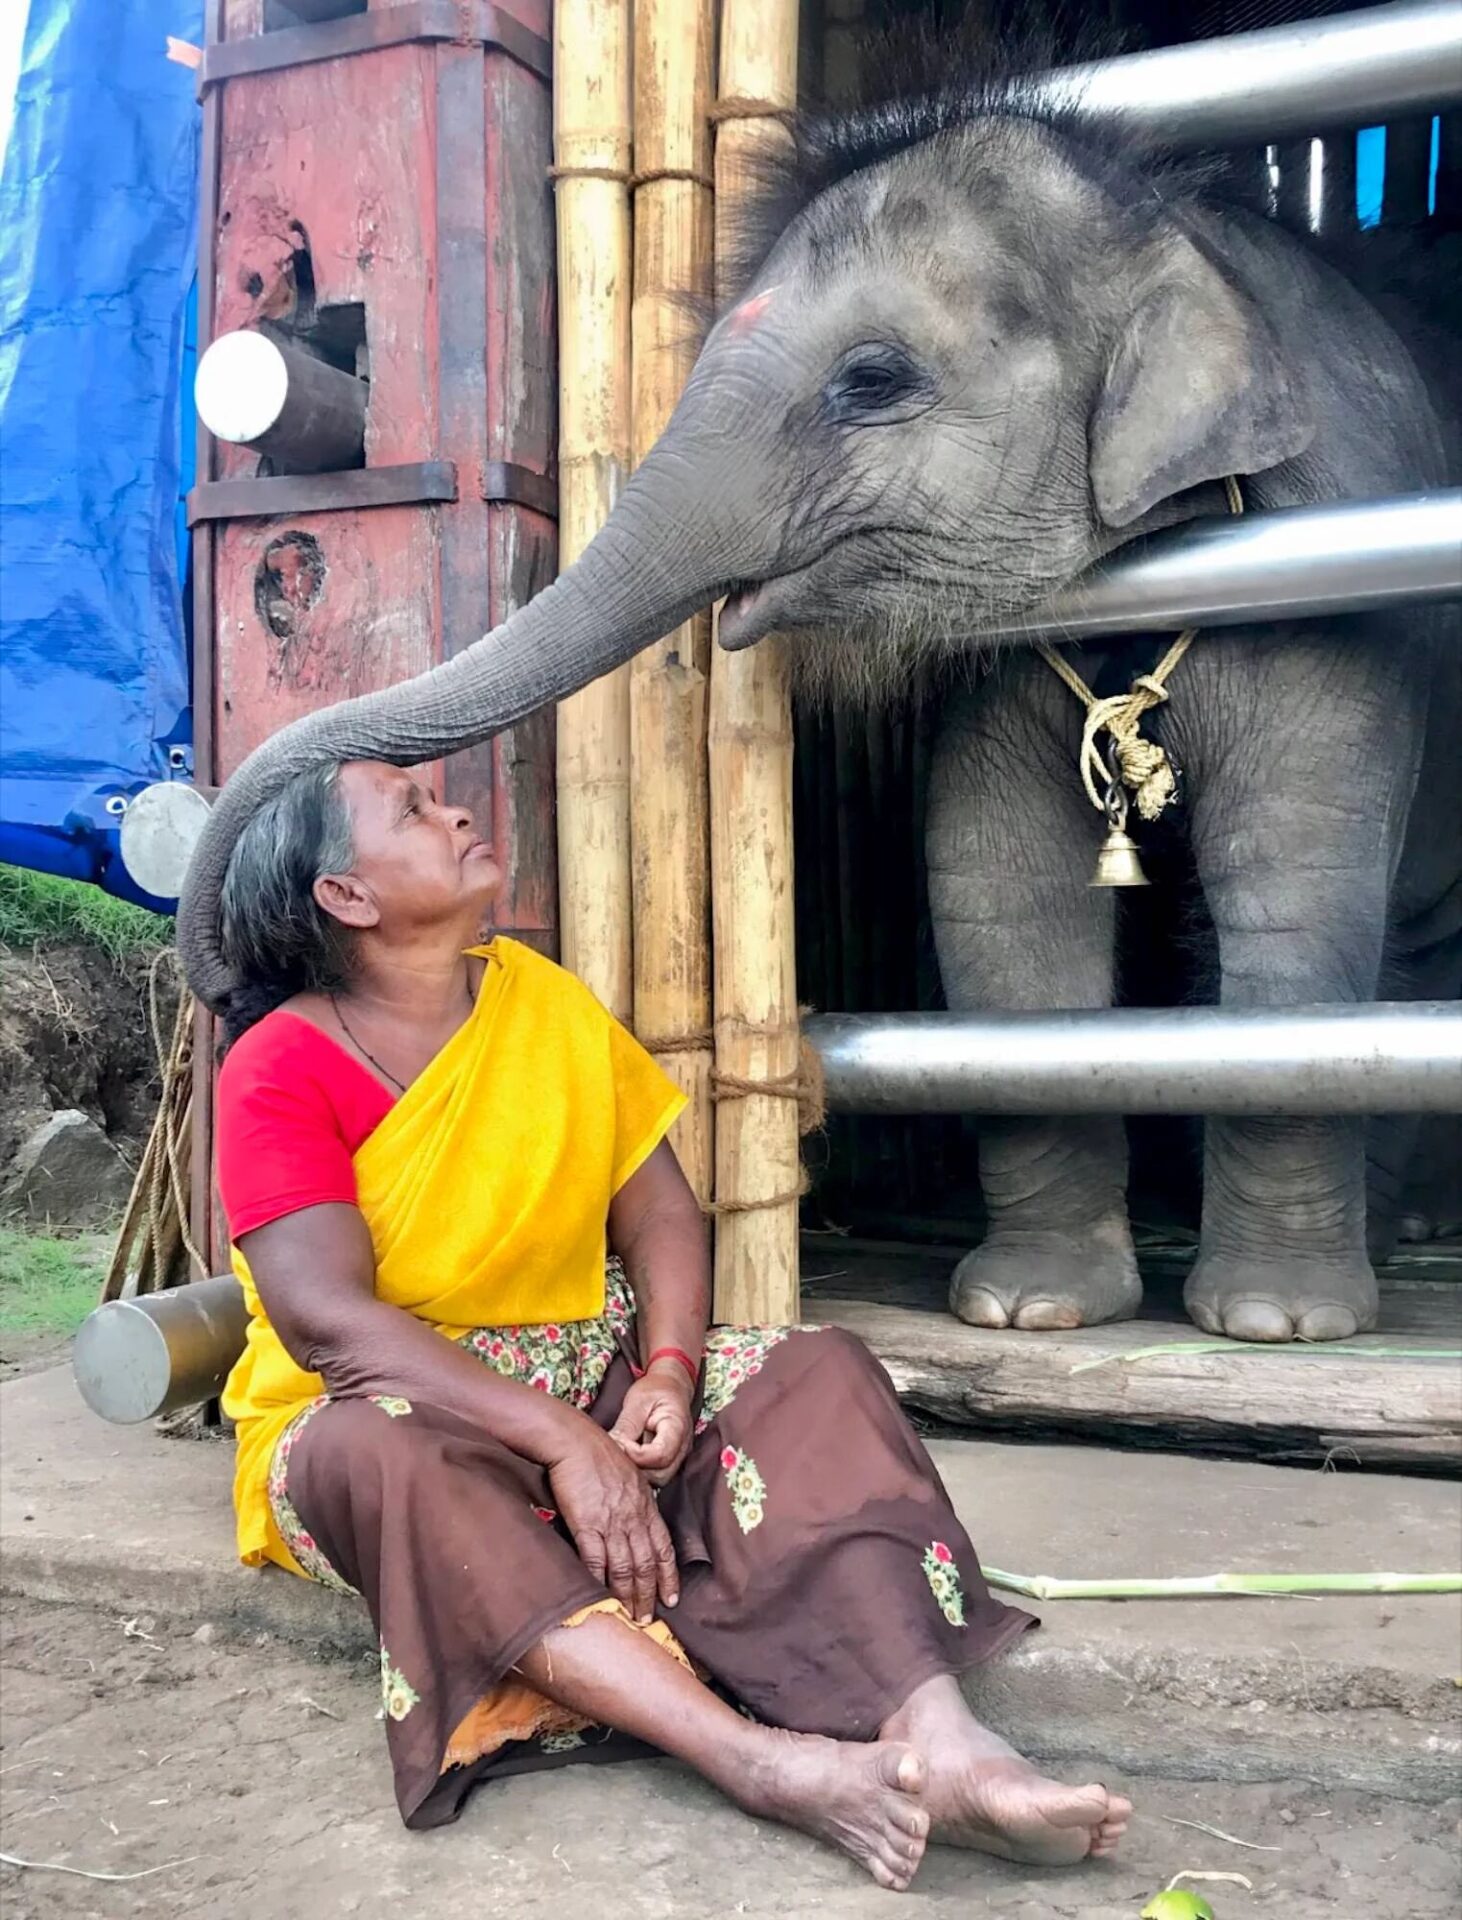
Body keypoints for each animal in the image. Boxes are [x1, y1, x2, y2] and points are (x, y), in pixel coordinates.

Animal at [180, 59, 1461, 1347]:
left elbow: (1294, 898)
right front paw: (1026, 1308)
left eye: (872, 380)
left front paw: (1275, 1324)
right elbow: (1002, 899)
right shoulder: (995, 674)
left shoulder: (1331, 603)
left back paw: (1385, 1242)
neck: (1182, 239)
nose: (231, 985)